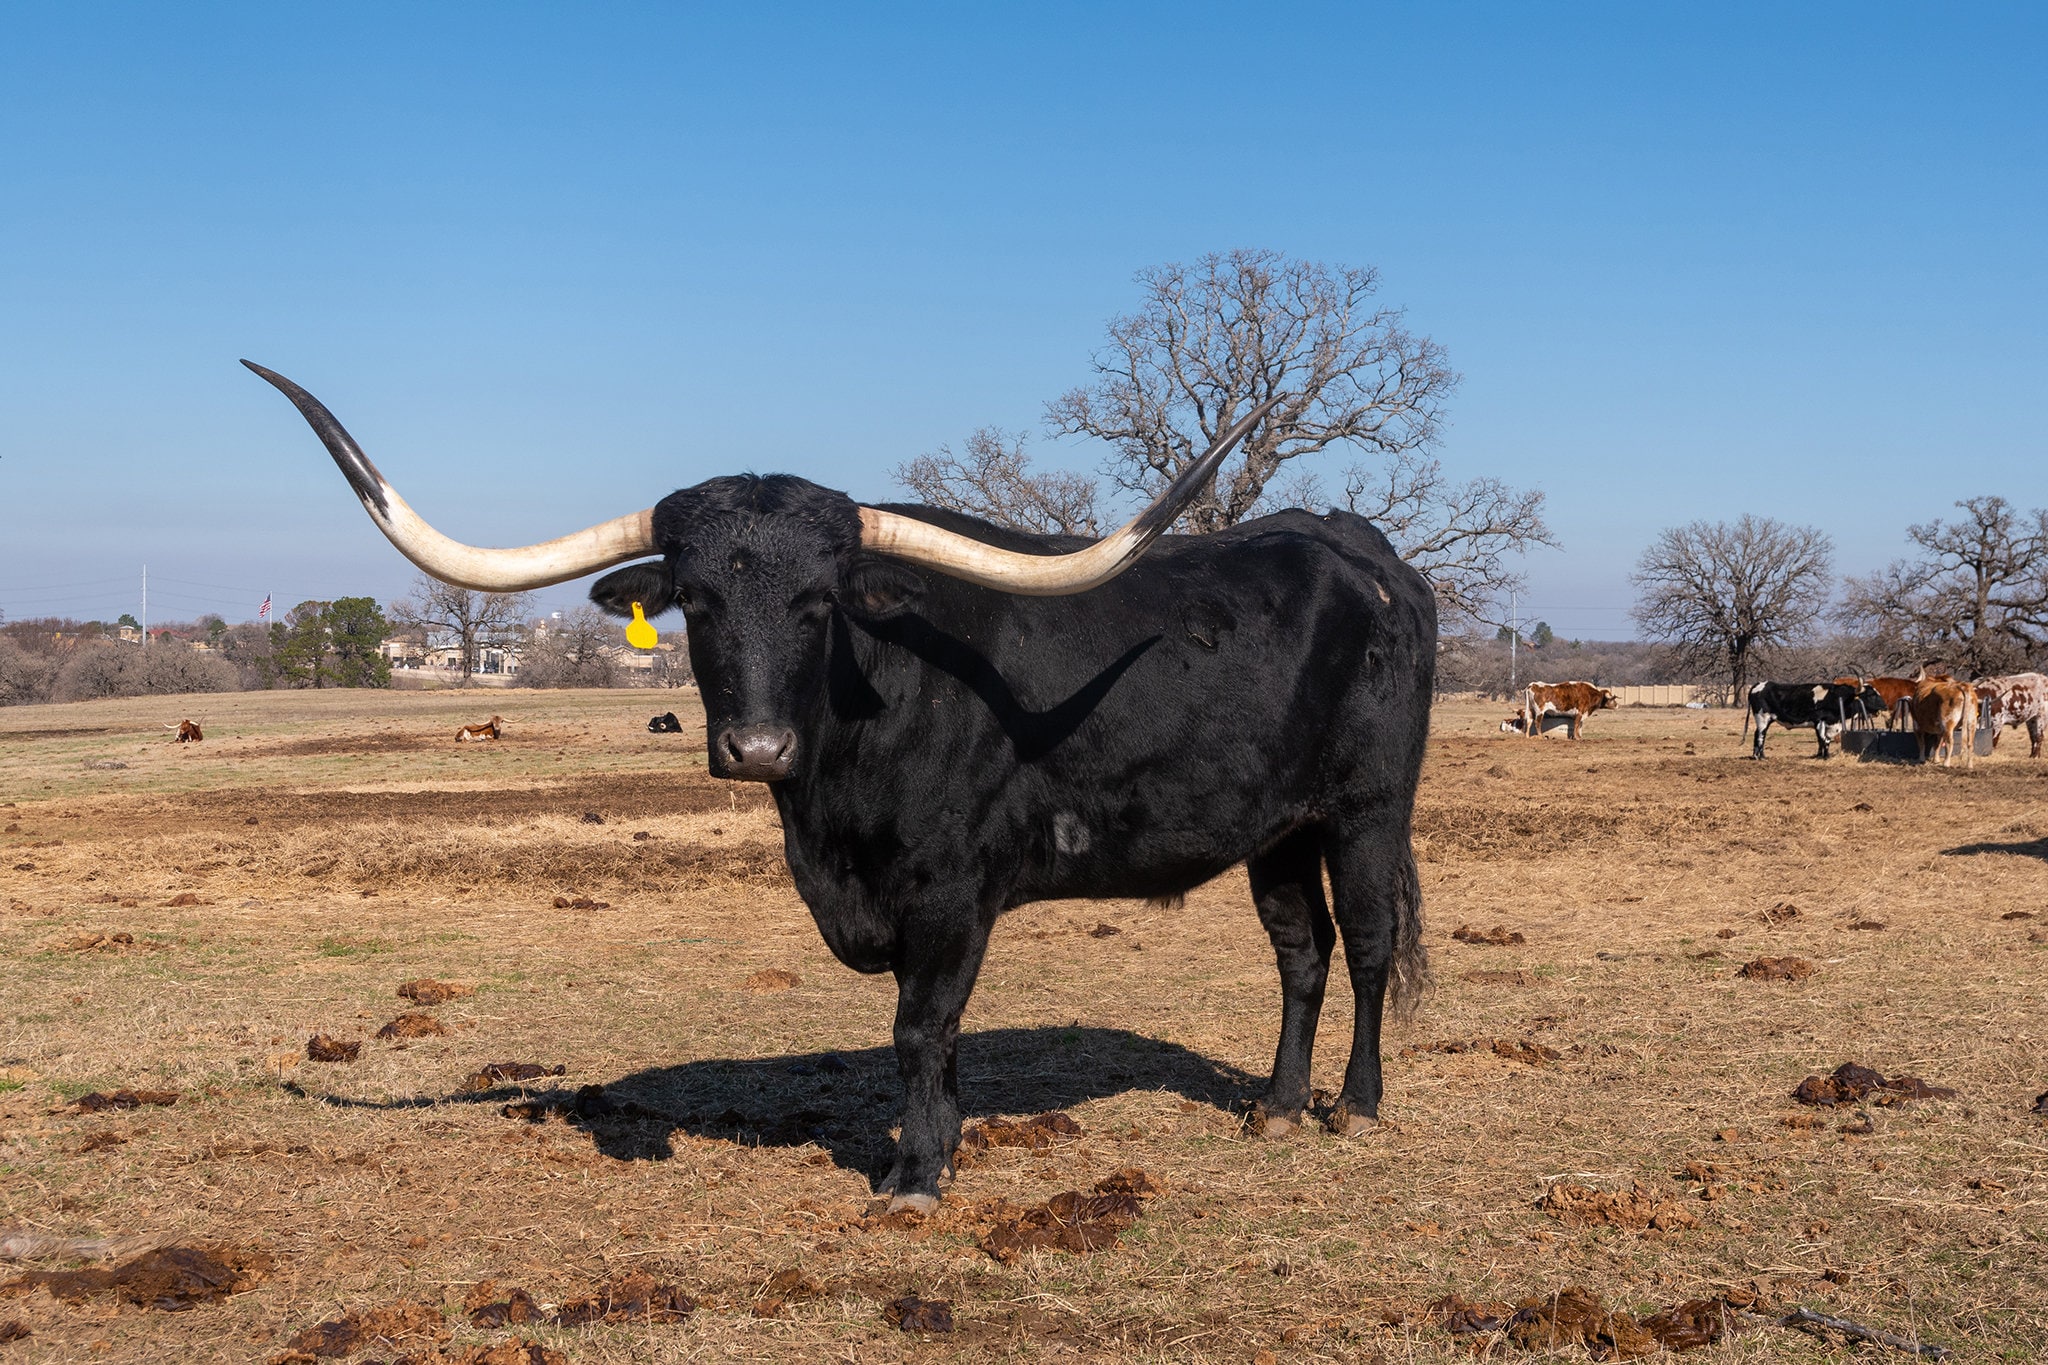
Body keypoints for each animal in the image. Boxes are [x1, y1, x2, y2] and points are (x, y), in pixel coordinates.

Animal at [250, 361, 1434, 1213]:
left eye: (818, 602)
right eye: (694, 601)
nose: (757, 747)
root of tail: (1354, 545)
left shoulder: (951, 892)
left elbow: (920, 1027)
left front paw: (913, 1179)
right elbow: (931, 1036)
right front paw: (938, 1149)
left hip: (1368, 809)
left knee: (1369, 944)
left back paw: (1356, 1106)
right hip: (1277, 827)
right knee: (1300, 950)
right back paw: (1276, 1107)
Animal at [1742, 681, 1885, 759]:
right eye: (1871, 694)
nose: (1885, 706)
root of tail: (1760, 684)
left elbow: (1820, 740)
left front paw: (1819, 755)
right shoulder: (1824, 722)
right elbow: (1825, 740)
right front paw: (1826, 756)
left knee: (1758, 735)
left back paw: (1759, 755)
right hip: (1762, 718)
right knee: (1760, 735)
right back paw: (1759, 757)